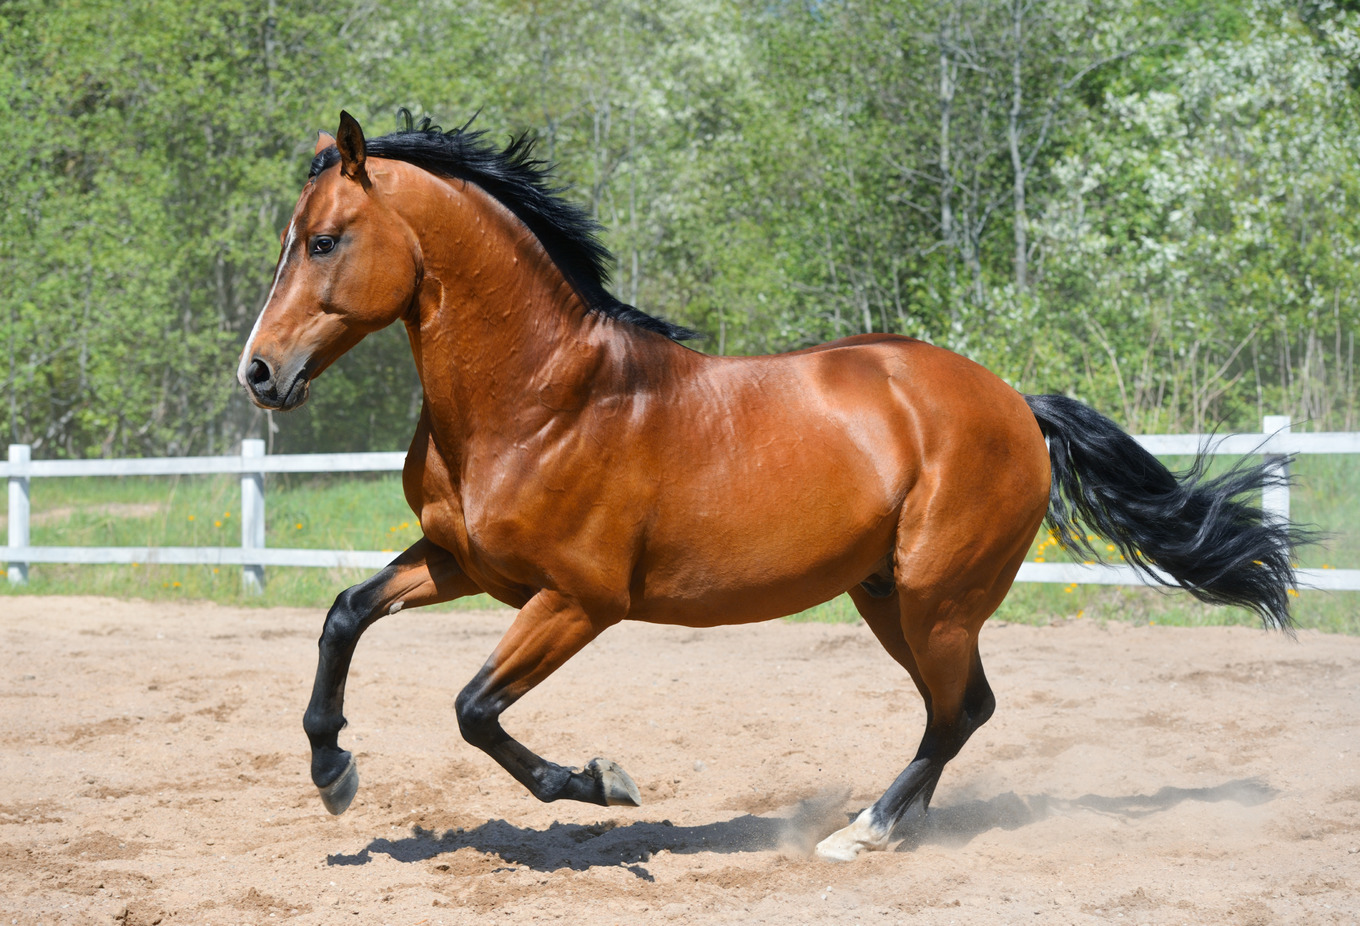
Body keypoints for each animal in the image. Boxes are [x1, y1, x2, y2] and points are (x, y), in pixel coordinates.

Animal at [237, 111, 1303, 861]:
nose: (259, 372)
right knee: (958, 710)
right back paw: (890, 826)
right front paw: (332, 770)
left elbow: (472, 709)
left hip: (937, 596)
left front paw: (605, 782)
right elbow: (343, 614)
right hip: (886, 596)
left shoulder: (578, 601)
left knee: (960, 710)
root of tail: (1012, 402)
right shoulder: (466, 565)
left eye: (324, 241)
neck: (542, 399)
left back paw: (863, 833)